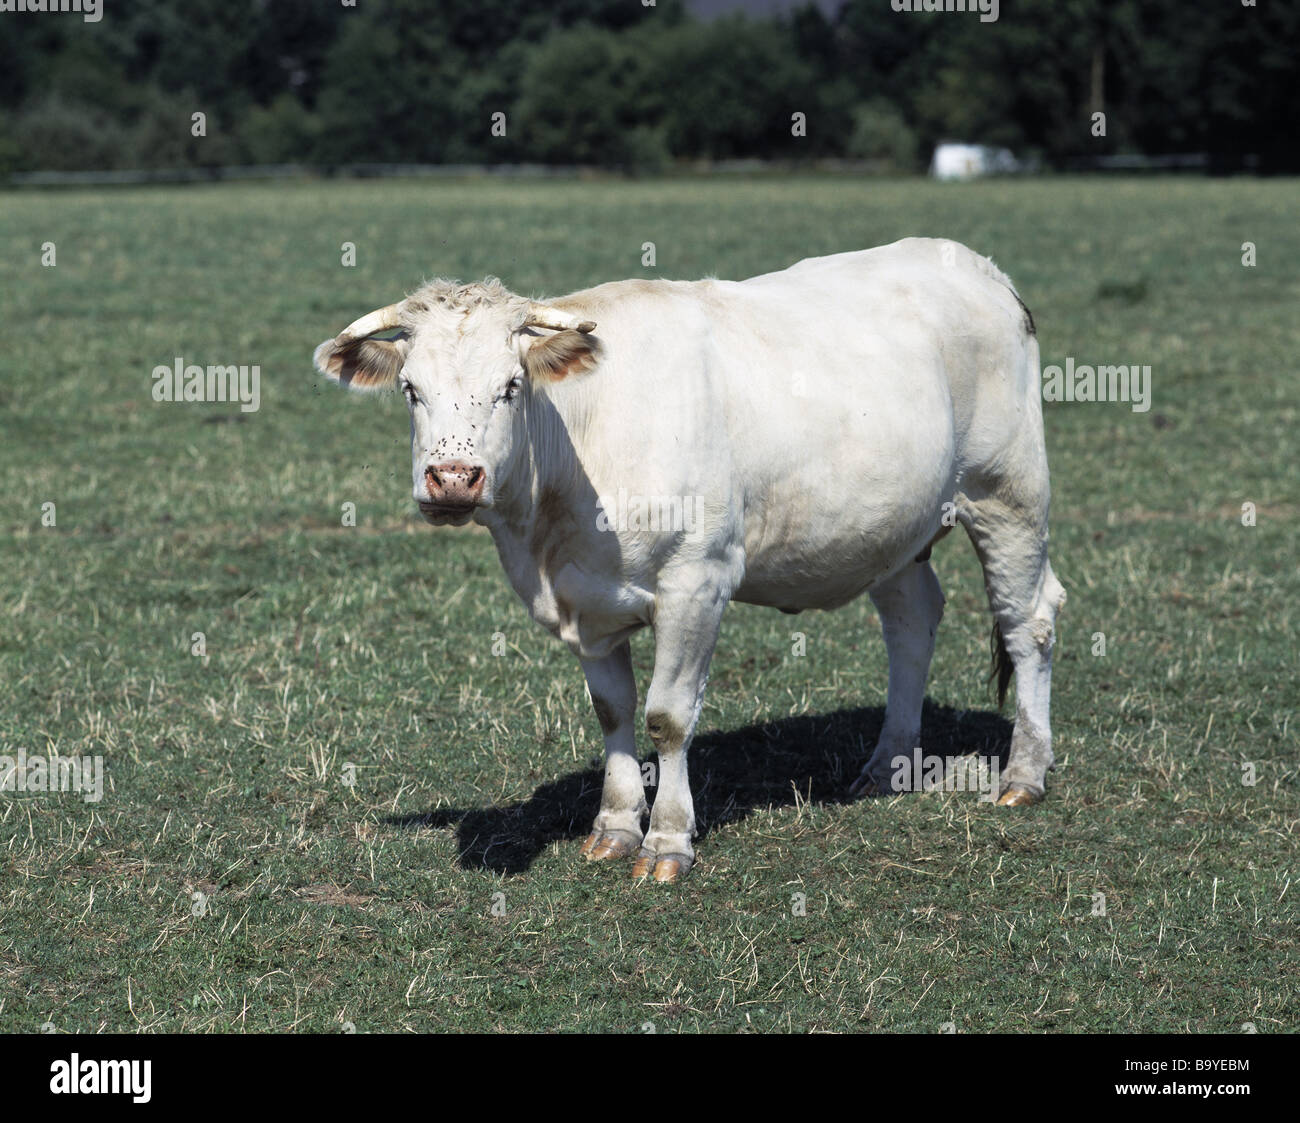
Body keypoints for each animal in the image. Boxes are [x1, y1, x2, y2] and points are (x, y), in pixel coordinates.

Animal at [313, 238, 1066, 882]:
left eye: (510, 386)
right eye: (411, 389)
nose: (452, 479)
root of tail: (976, 266)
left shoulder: (697, 578)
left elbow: (667, 717)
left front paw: (667, 842)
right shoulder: (588, 601)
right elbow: (612, 711)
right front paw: (615, 828)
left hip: (1007, 492)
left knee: (1028, 618)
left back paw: (1023, 776)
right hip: (895, 528)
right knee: (911, 622)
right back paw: (887, 764)